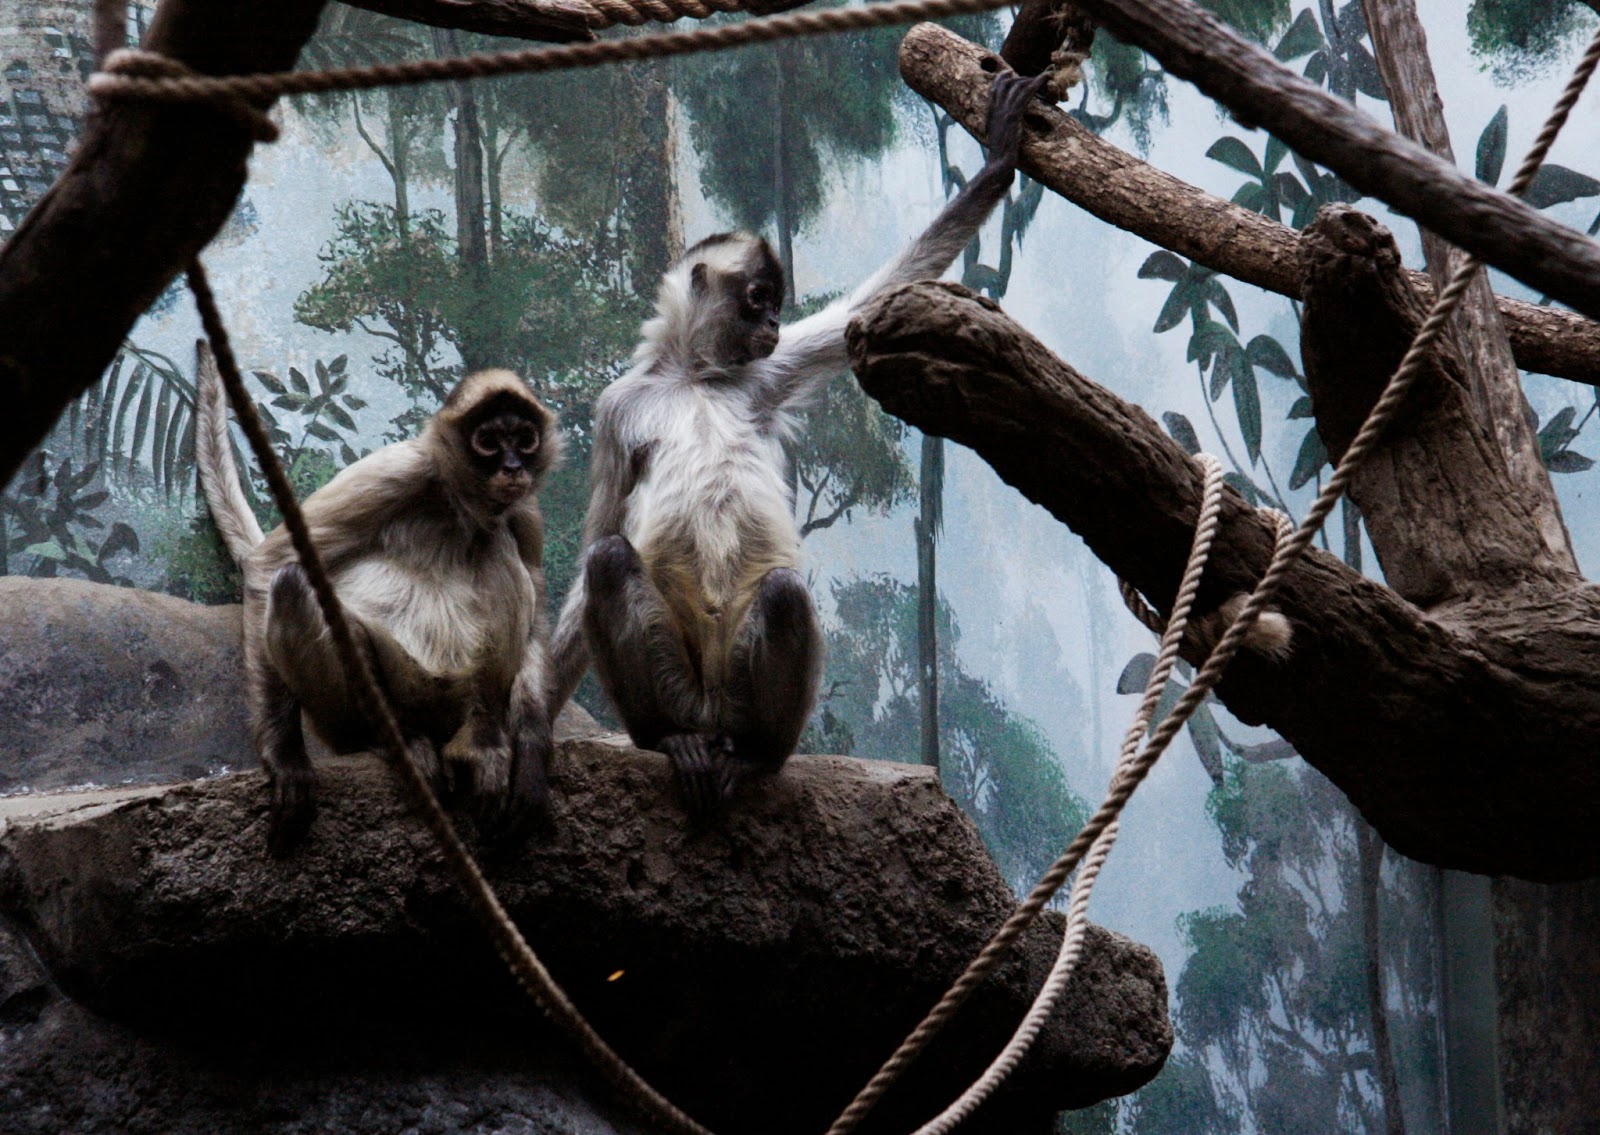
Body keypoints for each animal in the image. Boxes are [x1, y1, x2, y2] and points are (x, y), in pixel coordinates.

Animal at [197, 351, 562, 855]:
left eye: (524, 439)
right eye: (488, 442)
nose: (511, 466)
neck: (459, 502)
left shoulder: (525, 507)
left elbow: (537, 602)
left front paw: (531, 751)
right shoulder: (400, 468)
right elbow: (270, 565)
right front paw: (283, 755)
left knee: (498, 543)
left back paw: (479, 737)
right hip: (389, 693)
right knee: (291, 583)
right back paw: (390, 739)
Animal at [543, 68, 1052, 818]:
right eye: (758, 297)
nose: (776, 323)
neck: (694, 378)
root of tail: (713, 714)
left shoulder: (765, 374)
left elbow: (866, 305)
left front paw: (998, 154)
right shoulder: (616, 409)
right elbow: (596, 543)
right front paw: (526, 729)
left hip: (744, 687)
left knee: (782, 592)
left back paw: (755, 755)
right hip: (684, 685)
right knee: (608, 558)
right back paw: (672, 741)